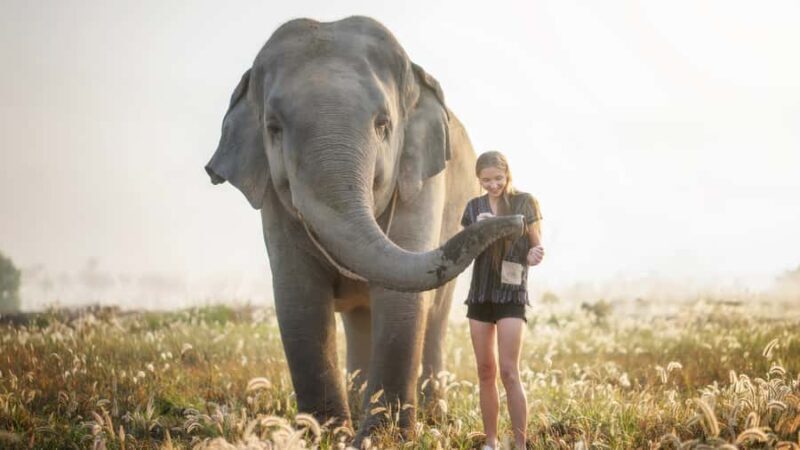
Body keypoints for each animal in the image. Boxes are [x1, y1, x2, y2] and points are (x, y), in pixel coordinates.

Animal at [205, 16, 524, 442]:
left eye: (383, 124)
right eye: (272, 128)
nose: (516, 222)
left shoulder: (421, 179)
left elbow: (401, 301)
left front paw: (384, 438)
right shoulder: (273, 198)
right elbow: (298, 298)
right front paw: (325, 436)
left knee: (434, 317)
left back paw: (432, 415)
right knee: (358, 319)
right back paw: (359, 406)